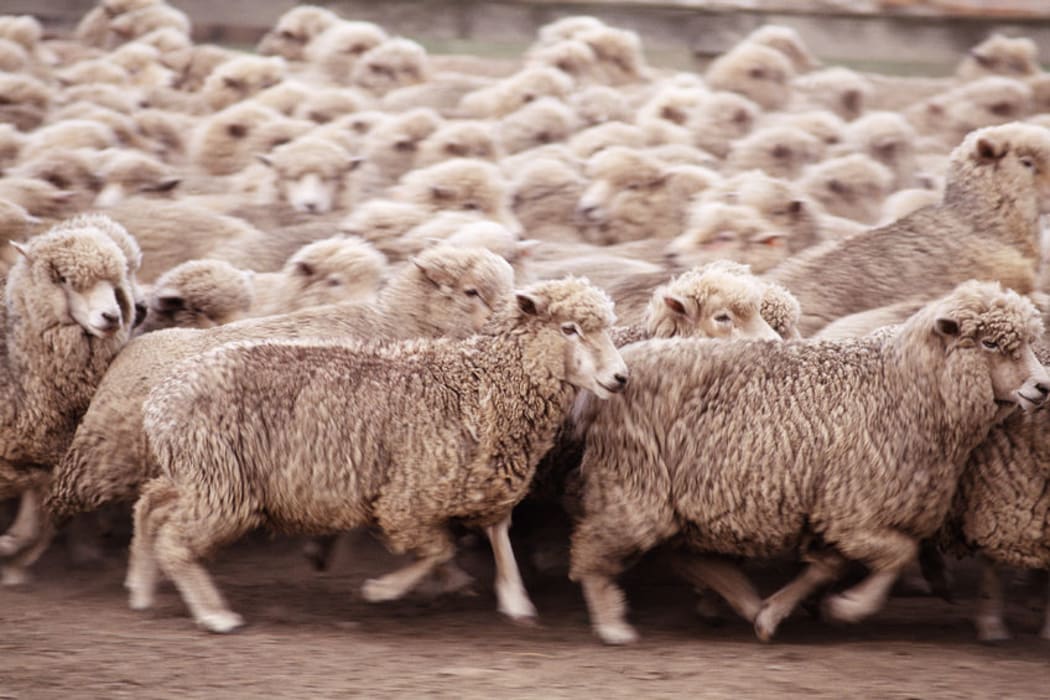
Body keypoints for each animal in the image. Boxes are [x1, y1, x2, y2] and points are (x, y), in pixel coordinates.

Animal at [124, 276, 626, 632]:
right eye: (569, 329)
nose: (620, 378)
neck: (479, 384)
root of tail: (161, 397)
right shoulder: (408, 495)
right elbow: (438, 549)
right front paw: (383, 590)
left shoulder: (479, 480)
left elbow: (496, 534)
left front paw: (516, 600)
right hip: (221, 483)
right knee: (175, 539)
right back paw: (212, 613)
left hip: (199, 474)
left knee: (150, 505)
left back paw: (141, 587)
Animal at [569, 280, 1049, 644]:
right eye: (989, 343)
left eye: (1028, 342)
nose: (1042, 386)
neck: (900, 390)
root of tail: (618, 373)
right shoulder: (854, 510)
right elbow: (897, 555)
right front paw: (848, 608)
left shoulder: (835, 511)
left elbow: (831, 566)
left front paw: (776, 613)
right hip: (635, 484)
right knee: (595, 550)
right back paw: (612, 624)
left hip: (676, 499)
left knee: (683, 554)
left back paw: (746, 602)